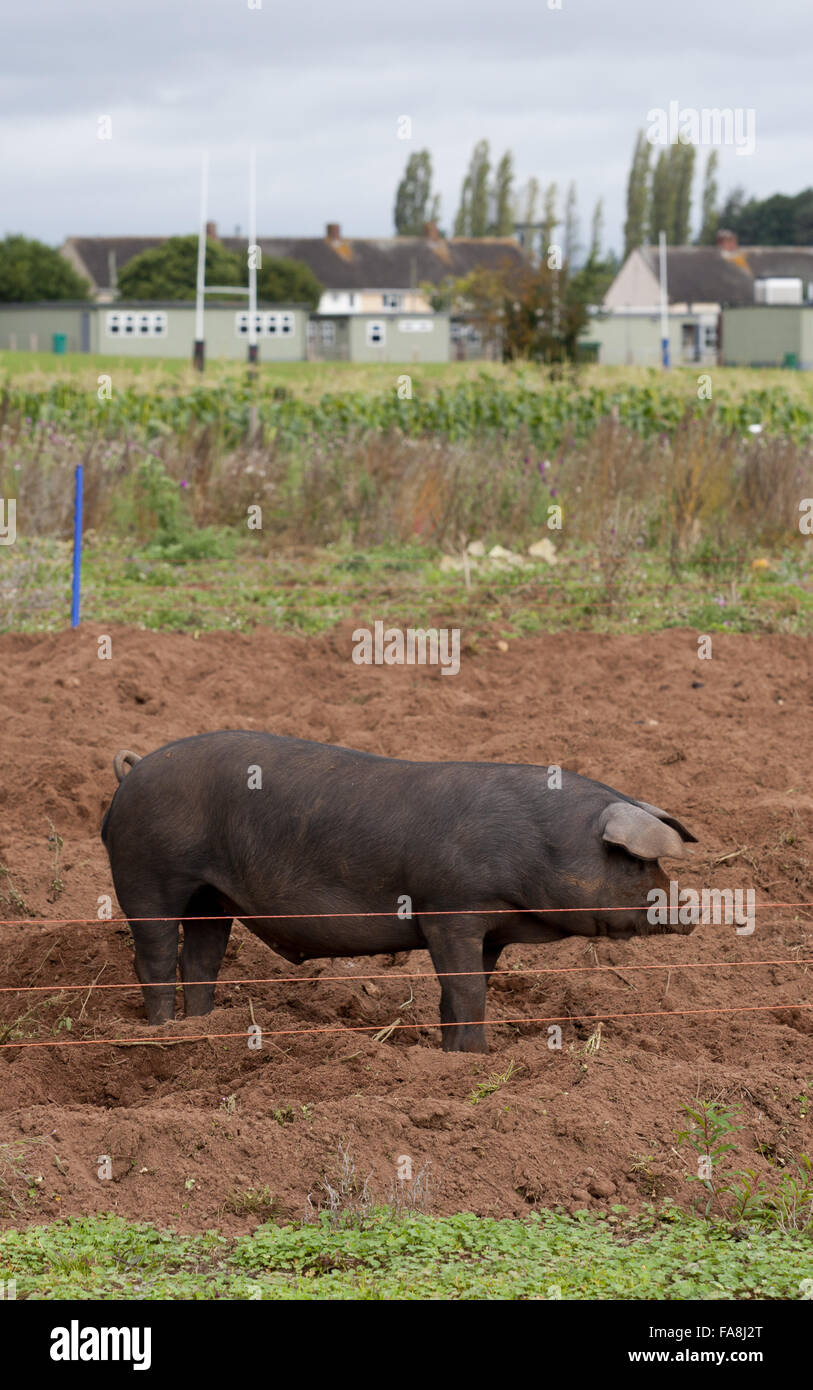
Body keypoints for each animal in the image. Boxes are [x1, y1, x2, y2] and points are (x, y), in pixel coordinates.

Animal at [101, 731, 696, 1052]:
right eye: (637, 863)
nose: (688, 912)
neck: (540, 844)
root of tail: (132, 771)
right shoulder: (449, 908)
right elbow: (467, 990)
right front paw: (478, 1057)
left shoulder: (492, 930)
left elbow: (461, 993)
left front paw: (455, 1055)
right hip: (146, 875)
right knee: (154, 957)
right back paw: (161, 1033)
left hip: (210, 897)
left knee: (200, 959)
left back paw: (202, 1028)